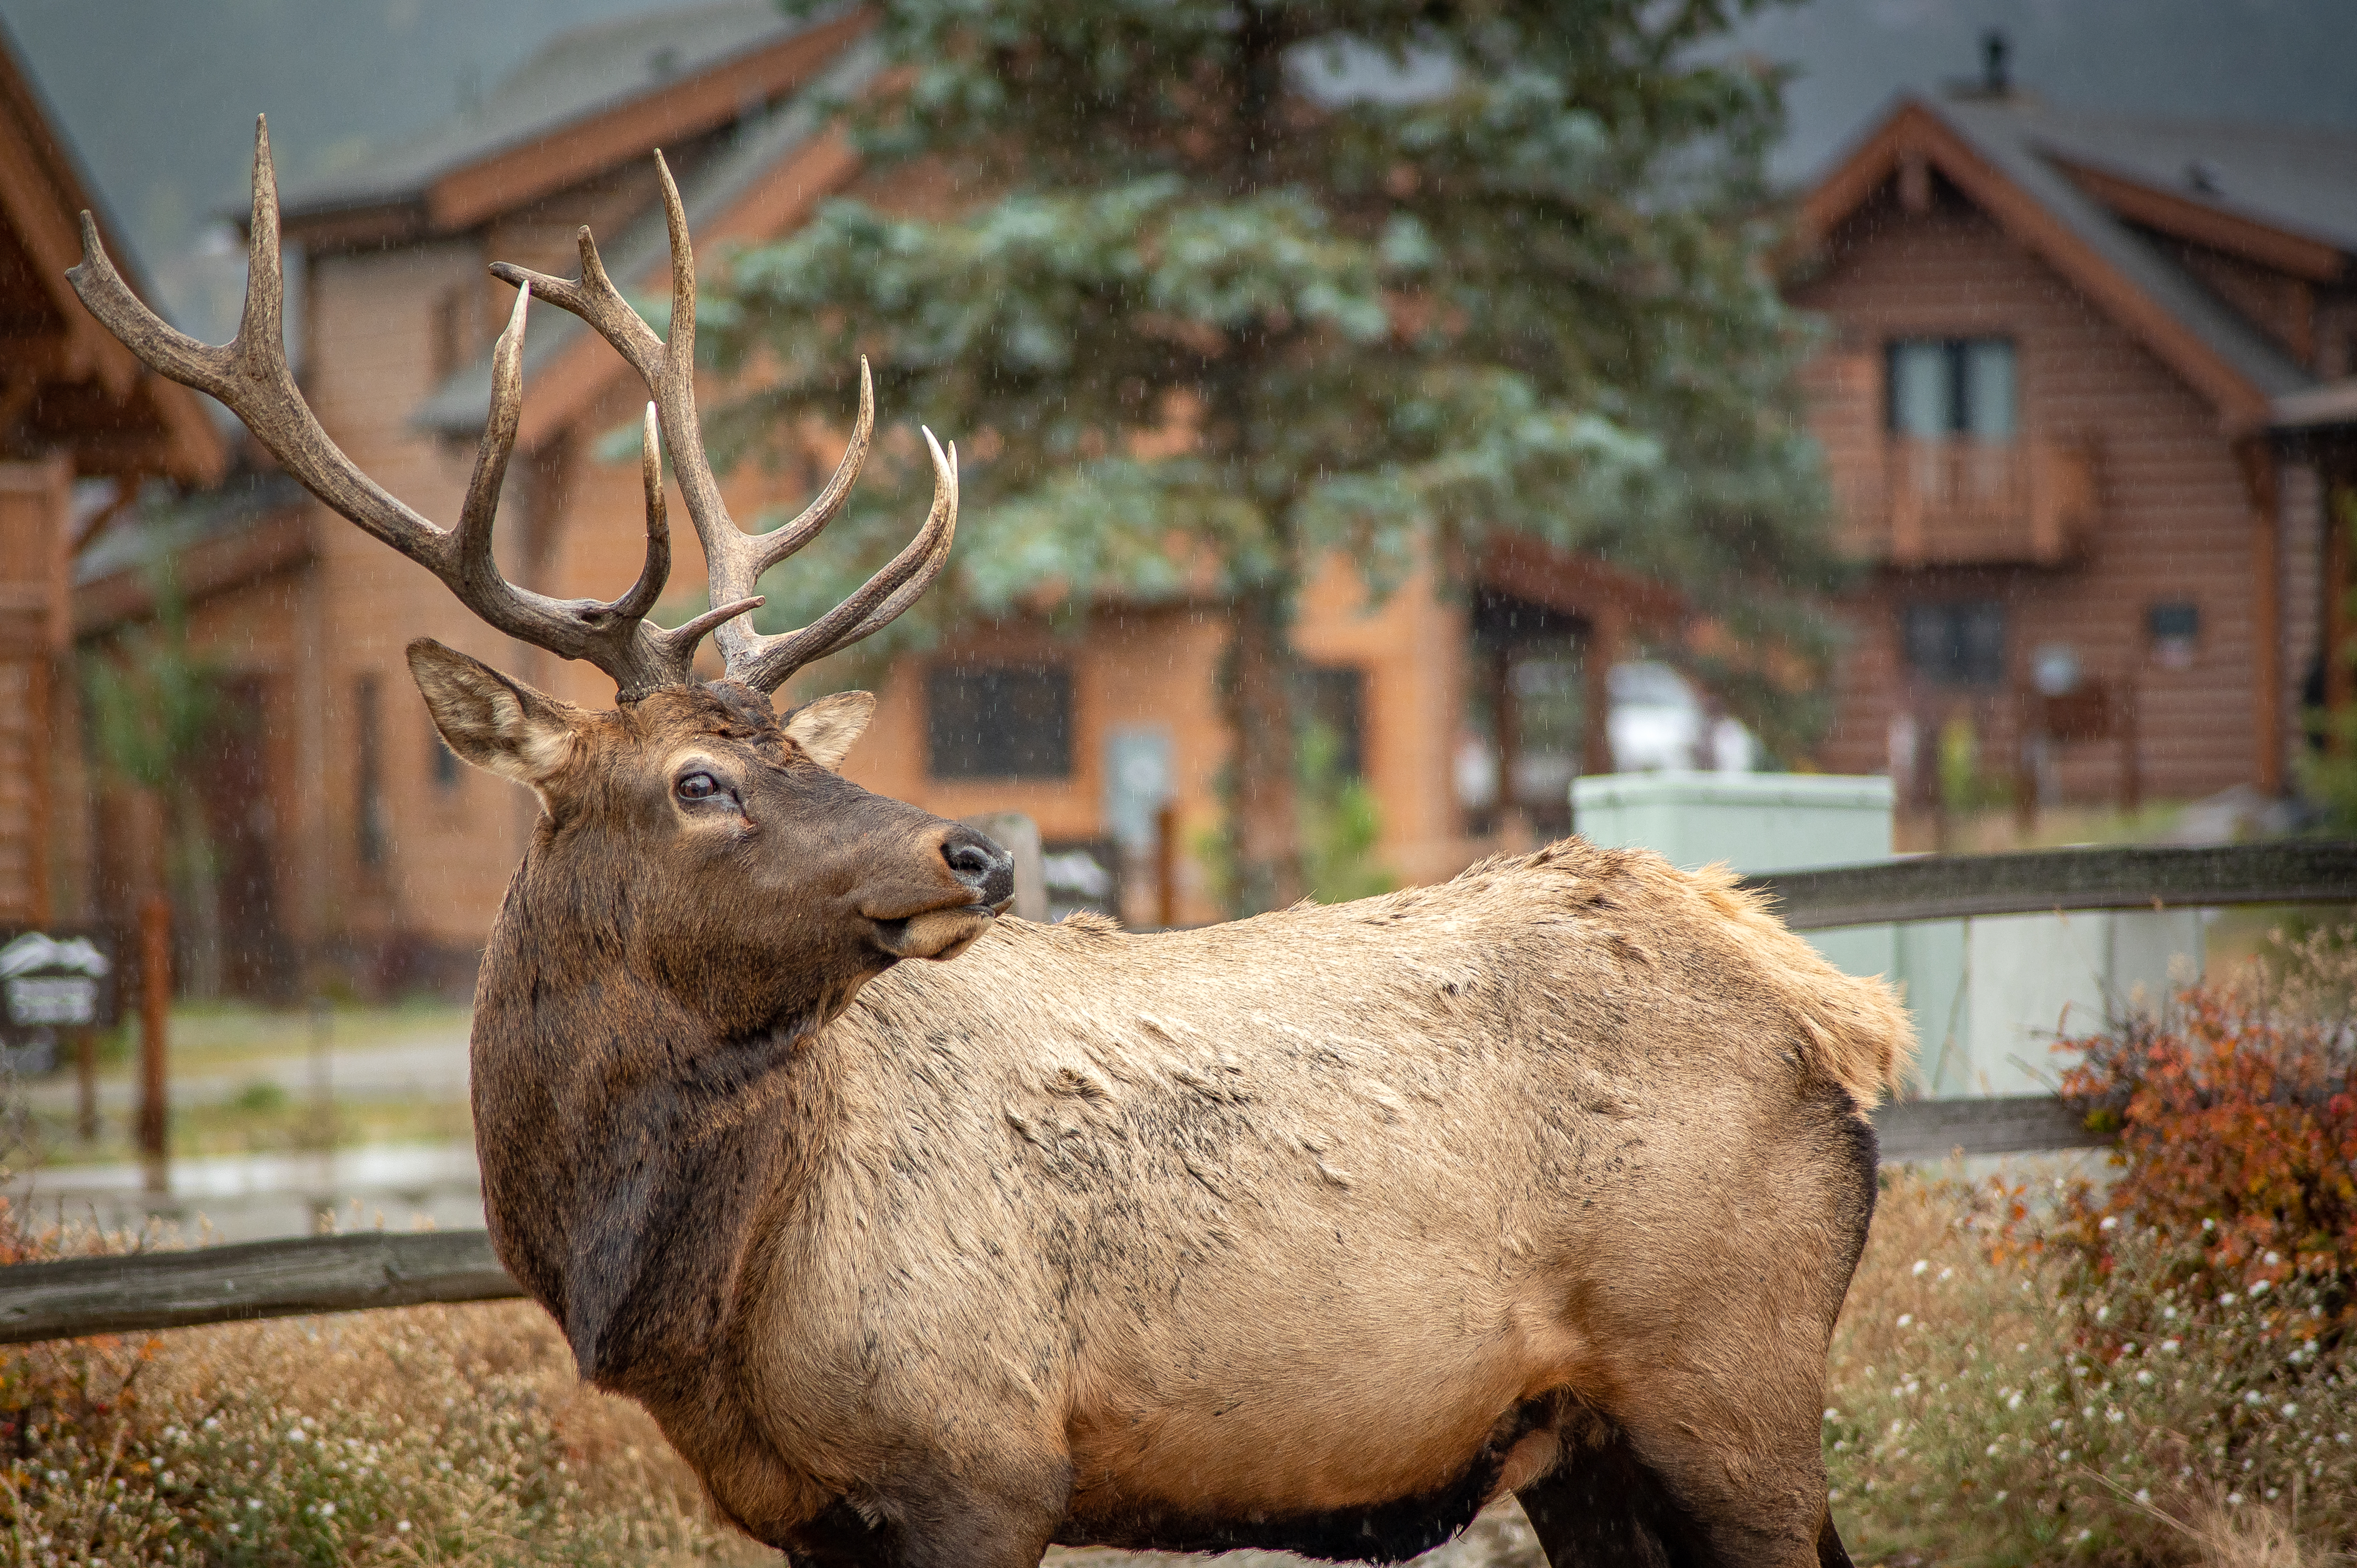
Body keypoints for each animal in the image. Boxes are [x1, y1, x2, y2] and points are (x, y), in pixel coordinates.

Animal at [72, 119, 1912, 1568]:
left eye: (766, 756)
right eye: (697, 780)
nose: (974, 856)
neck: (672, 1284)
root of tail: (1833, 1008)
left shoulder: (974, 1455)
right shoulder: (811, 1511)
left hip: (1728, 1379)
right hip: (1583, 1437)